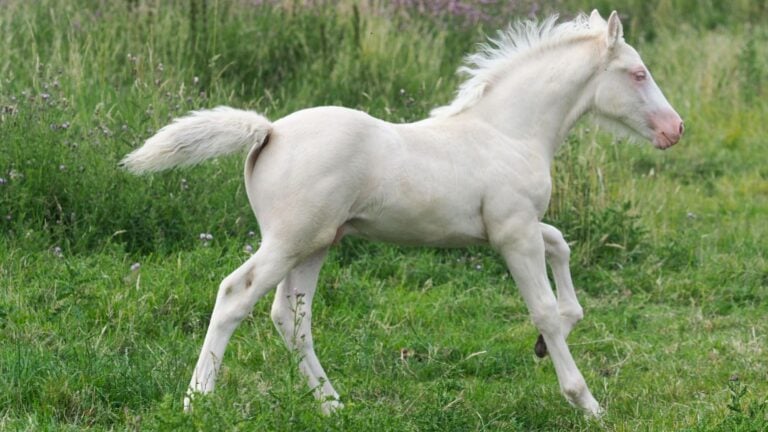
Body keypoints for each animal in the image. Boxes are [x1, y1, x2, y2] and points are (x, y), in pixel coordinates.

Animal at [121, 10, 683, 417]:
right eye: (638, 73)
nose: (675, 129)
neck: (507, 132)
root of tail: (269, 130)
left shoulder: (511, 228)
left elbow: (561, 245)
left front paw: (552, 338)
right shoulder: (513, 234)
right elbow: (542, 305)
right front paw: (585, 400)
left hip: (316, 243)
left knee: (291, 319)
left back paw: (331, 404)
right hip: (287, 240)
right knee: (235, 295)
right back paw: (197, 399)